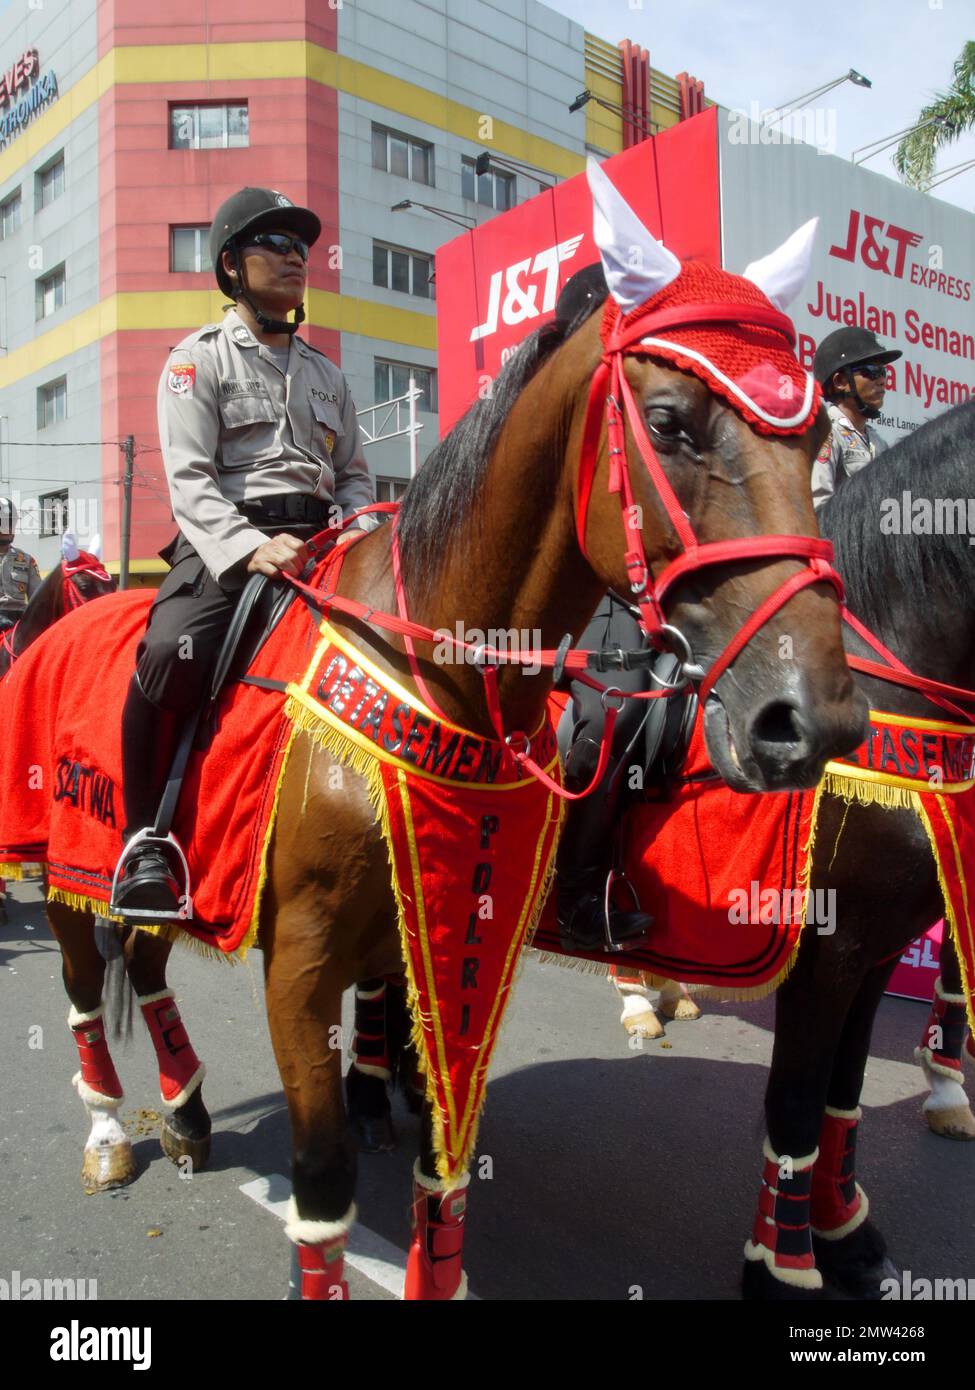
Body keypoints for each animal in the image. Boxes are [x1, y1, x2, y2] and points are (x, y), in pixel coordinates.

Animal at [11, 164, 869, 1299]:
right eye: (672, 421)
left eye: (814, 440)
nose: (813, 716)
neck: (449, 683)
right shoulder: (299, 966)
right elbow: (323, 1179)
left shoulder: (454, 931)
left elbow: (442, 1162)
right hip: (64, 860)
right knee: (82, 986)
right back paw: (113, 1129)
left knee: (145, 966)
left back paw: (188, 1113)